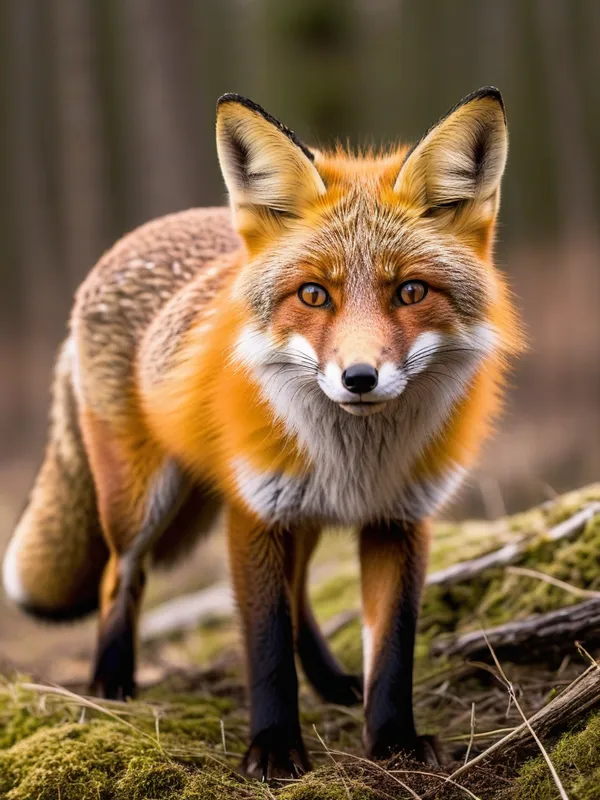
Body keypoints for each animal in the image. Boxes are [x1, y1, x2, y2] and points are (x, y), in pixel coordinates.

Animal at [3, 87, 522, 779]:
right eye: (314, 295)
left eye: (411, 292)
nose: (360, 378)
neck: (353, 460)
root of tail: (126, 243)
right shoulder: (252, 513)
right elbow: (266, 644)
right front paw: (275, 748)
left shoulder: (400, 520)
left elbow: (391, 648)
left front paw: (392, 741)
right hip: (140, 500)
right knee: (121, 576)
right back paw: (111, 683)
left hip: (296, 514)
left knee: (299, 596)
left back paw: (330, 681)